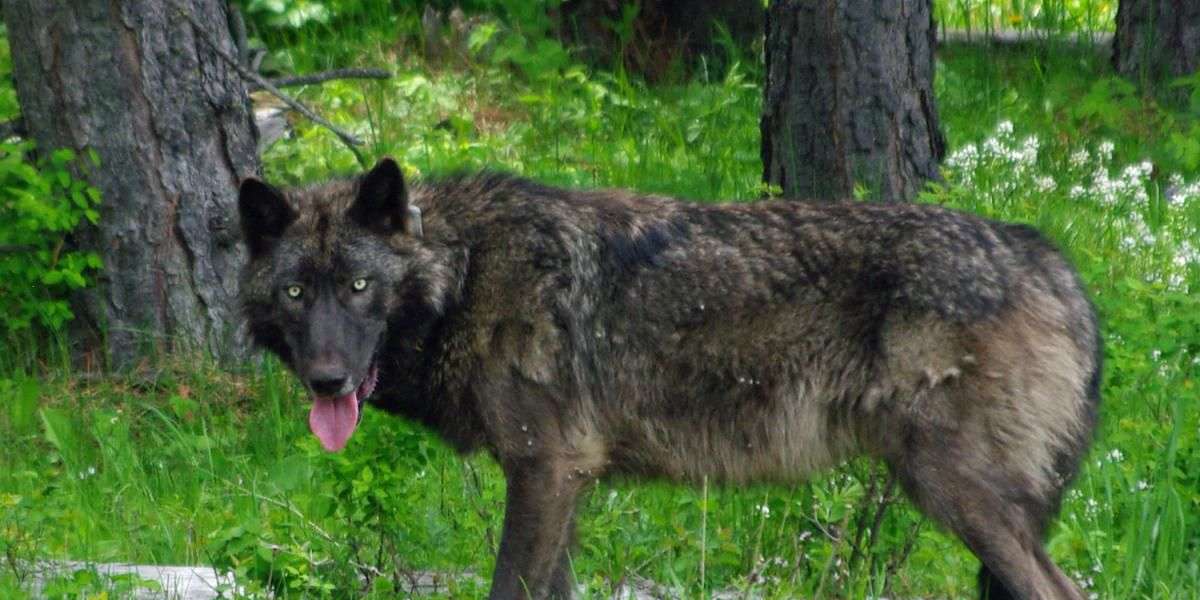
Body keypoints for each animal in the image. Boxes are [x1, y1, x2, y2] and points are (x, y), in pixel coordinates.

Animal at [237, 158, 1100, 600]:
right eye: (296, 293)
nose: (326, 381)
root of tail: (1047, 256)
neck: (469, 274)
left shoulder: (545, 470)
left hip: (955, 494)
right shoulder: (565, 483)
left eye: (358, 287)